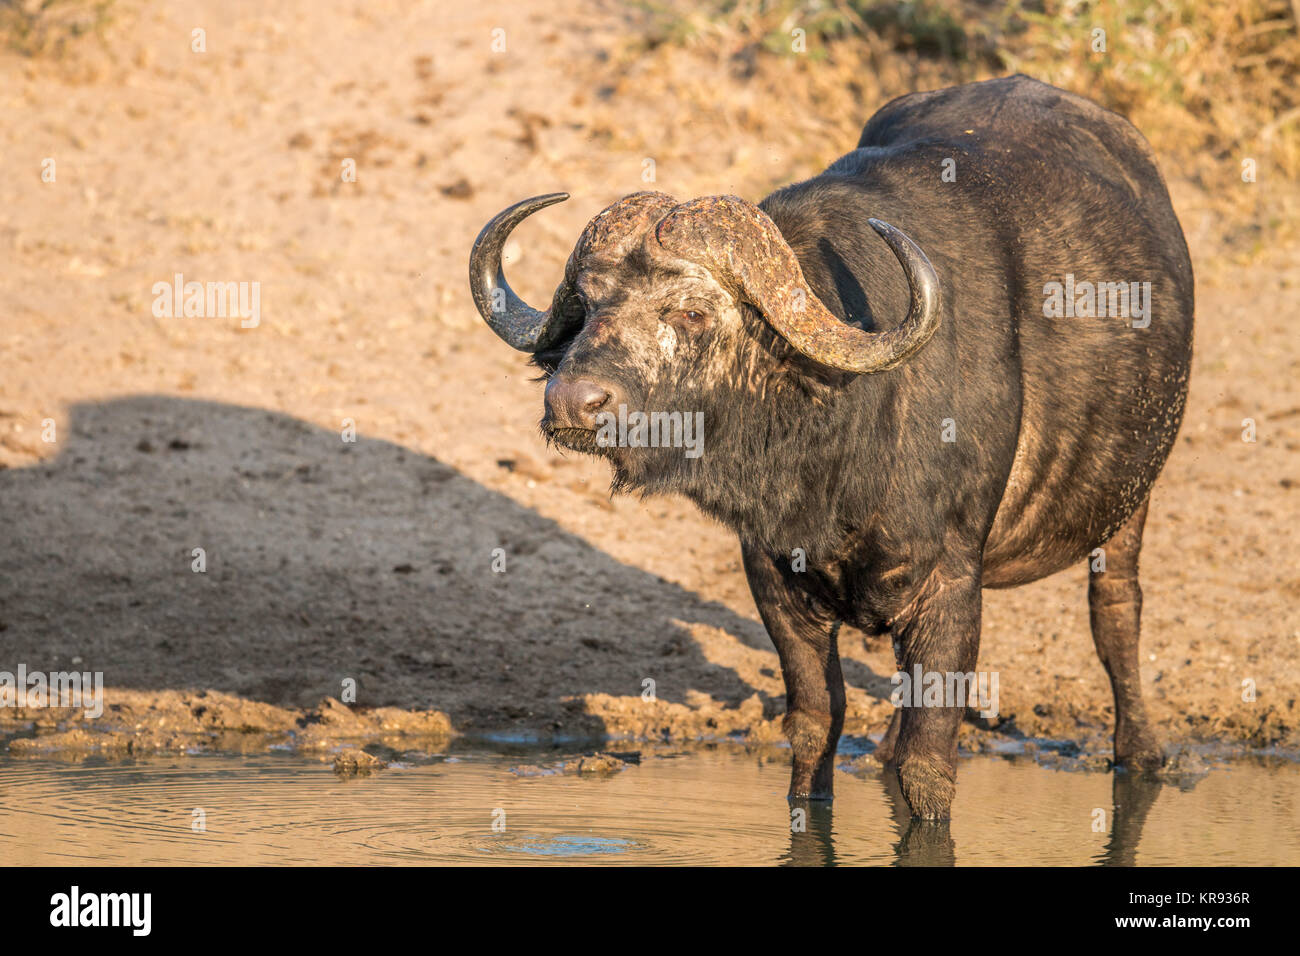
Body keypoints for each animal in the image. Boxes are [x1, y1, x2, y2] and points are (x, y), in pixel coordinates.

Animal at [467, 75, 1194, 819]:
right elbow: (816, 724)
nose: (571, 402)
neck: (836, 449)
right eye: (587, 304)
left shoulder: (951, 587)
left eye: (692, 312)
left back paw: (1140, 751)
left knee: (1117, 614)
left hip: (1129, 501)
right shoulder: (774, 577)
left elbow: (930, 762)